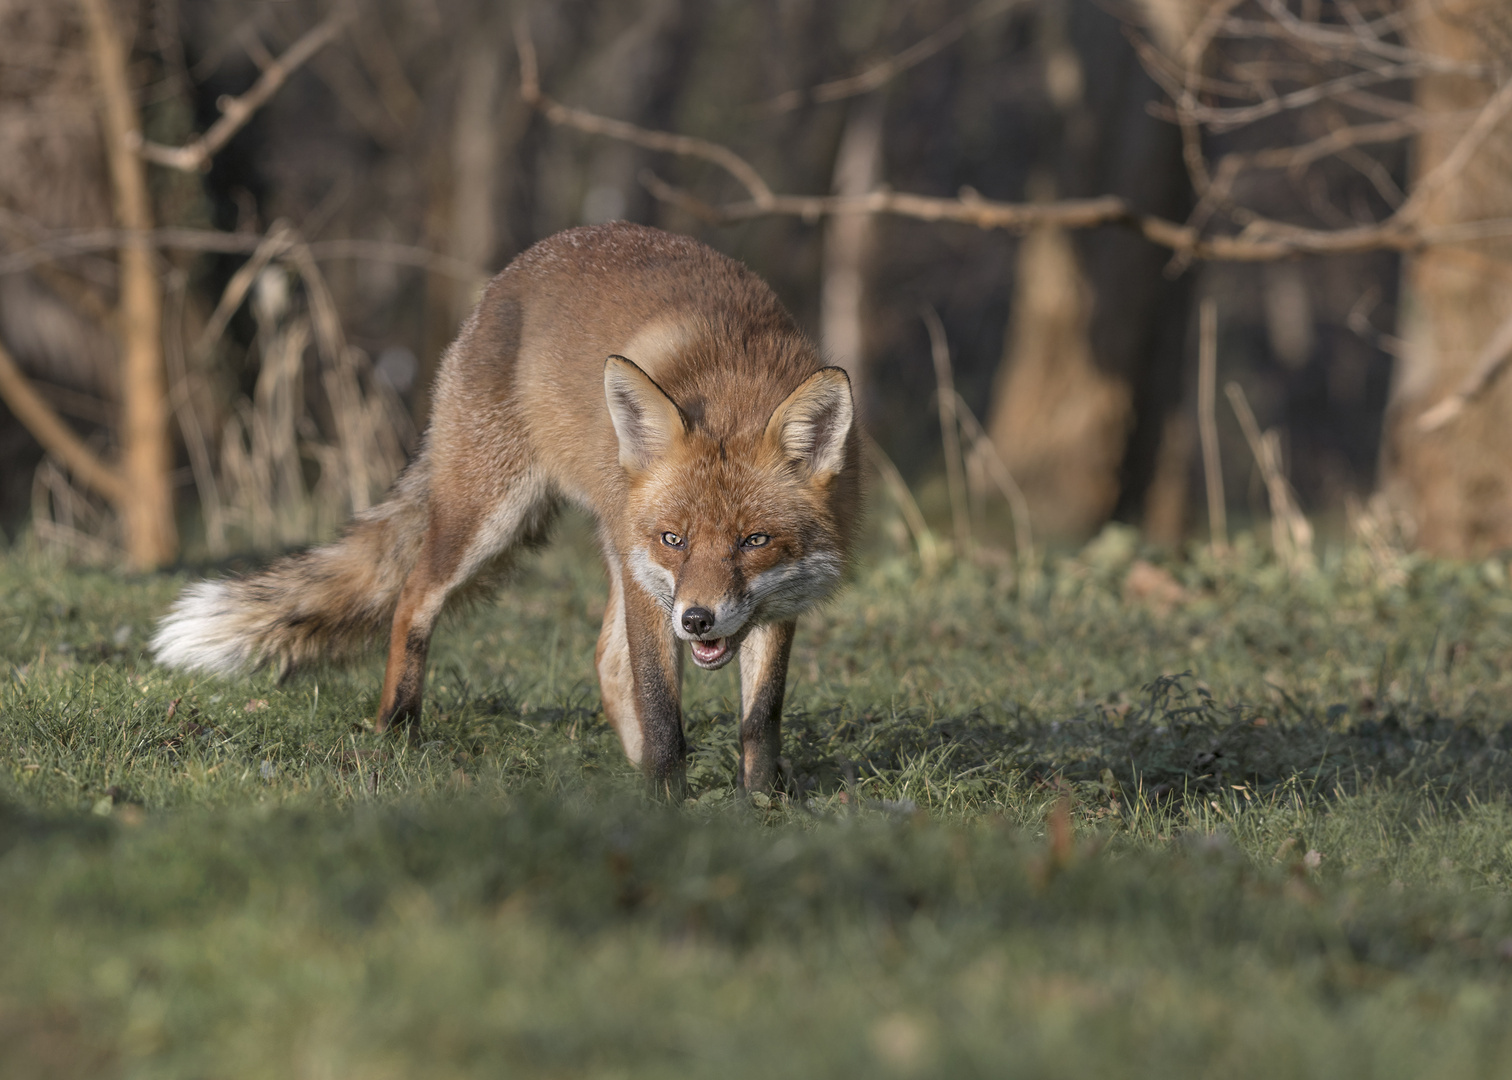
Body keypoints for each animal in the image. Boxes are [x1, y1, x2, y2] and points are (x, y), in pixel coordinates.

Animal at [159, 220, 864, 792]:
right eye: (675, 539)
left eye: (754, 541)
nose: (696, 620)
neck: (733, 379)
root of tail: (513, 272)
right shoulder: (652, 584)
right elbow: (665, 719)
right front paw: (668, 806)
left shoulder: (776, 605)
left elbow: (759, 721)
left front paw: (759, 806)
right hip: (487, 517)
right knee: (412, 599)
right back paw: (396, 731)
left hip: (601, 542)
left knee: (605, 663)